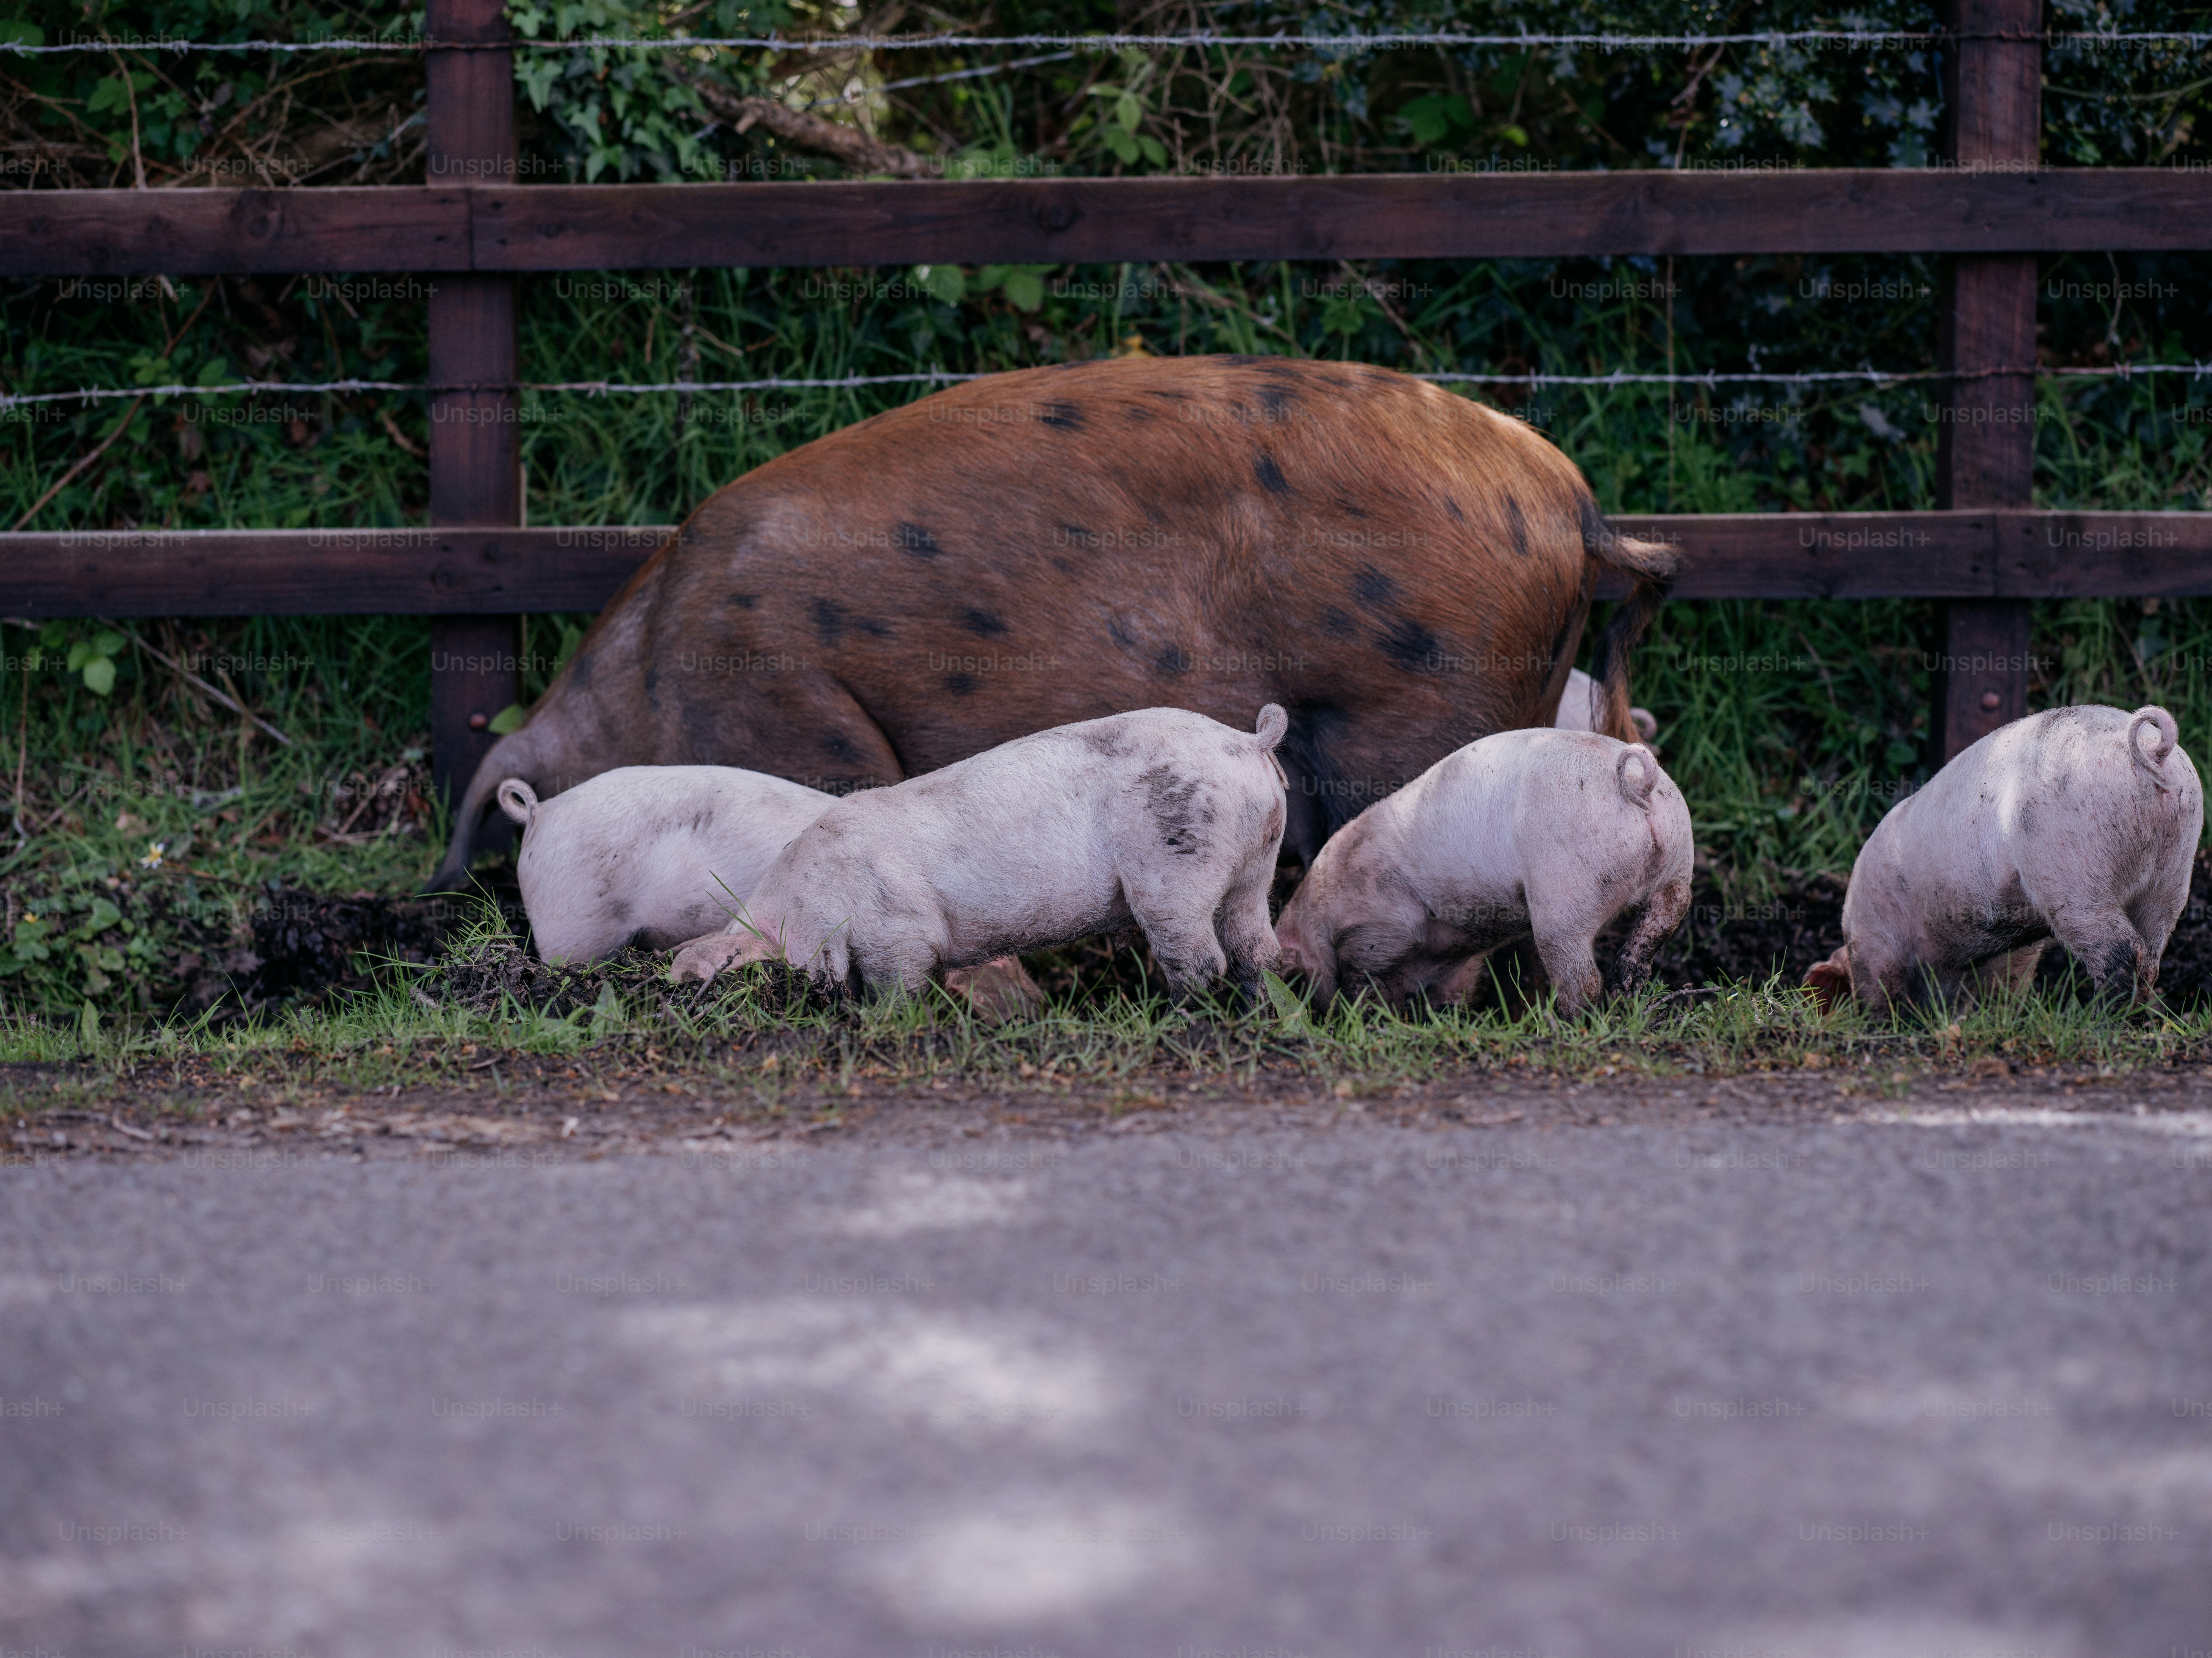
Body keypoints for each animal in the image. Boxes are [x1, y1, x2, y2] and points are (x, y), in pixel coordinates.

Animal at [669, 705, 1291, 1004]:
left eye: (722, 979)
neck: (803, 904)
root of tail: (1247, 741)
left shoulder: (900, 928)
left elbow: (900, 985)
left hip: (1175, 866)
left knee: (1202, 961)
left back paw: (1178, 1021)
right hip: (1255, 864)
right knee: (1259, 950)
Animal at [1273, 728, 1694, 1016]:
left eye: (1297, 979)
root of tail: (1635, 783)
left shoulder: (1377, 922)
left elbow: (1360, 970)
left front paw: (1364, 1014)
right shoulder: (1457, 956)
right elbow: (1455, 990)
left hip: (1564, 891)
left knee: (1581, 977)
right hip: (1679, 854)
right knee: (1669, 911)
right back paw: (1628, 990)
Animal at [1803, 705, 2202, 1012]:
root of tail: (2151, 753)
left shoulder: (1876, 942)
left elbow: (1881, 992)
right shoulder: (2015, 953)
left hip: (2076, 879)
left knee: (2122, 955)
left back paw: (2099, 1024)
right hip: (2173, 876)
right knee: (2150, 958)